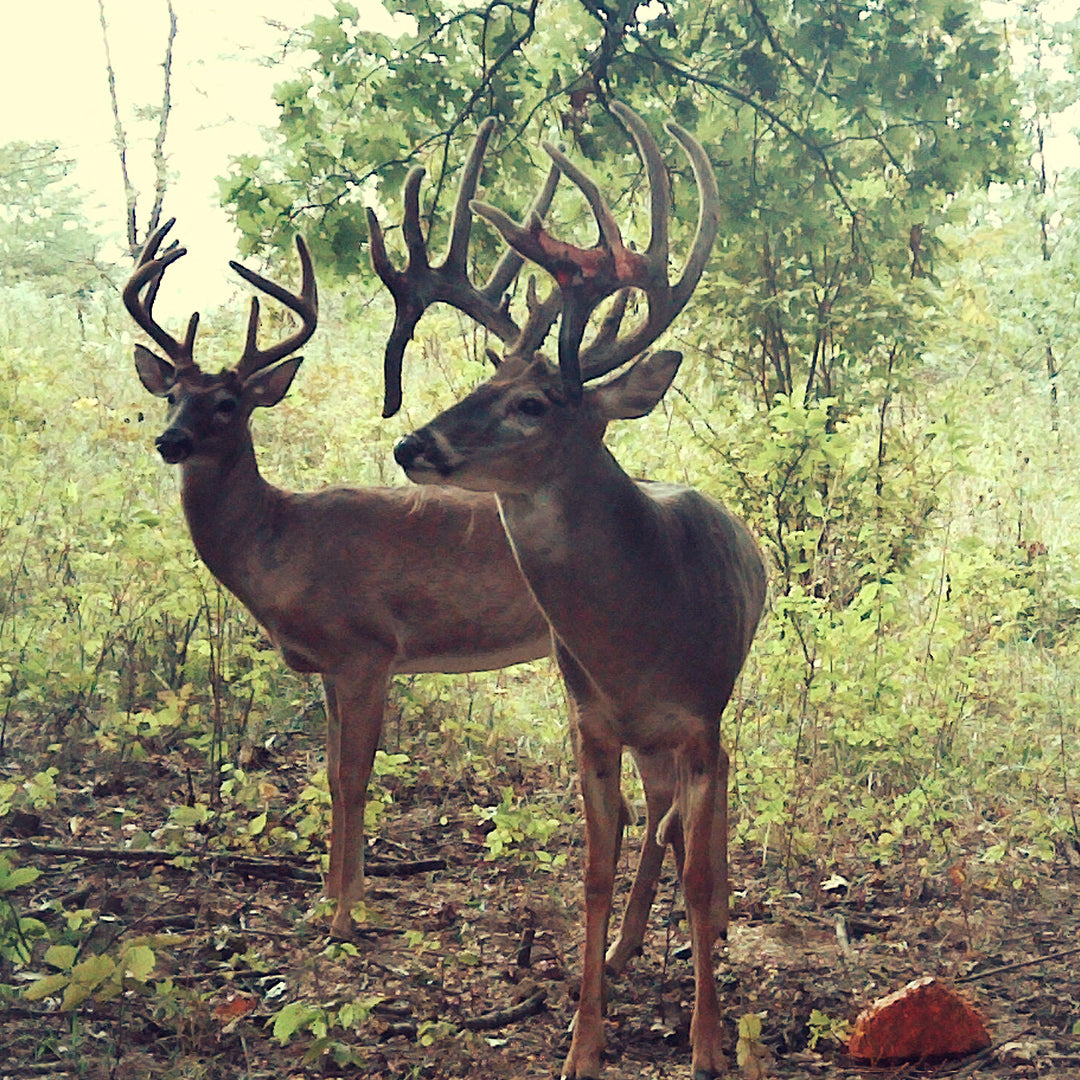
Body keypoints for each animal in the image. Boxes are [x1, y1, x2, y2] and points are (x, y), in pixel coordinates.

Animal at [384, 102, 767, 1078]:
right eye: (483, 379)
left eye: (534, 404)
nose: (412, 444)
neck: (636, 634)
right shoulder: (590, 722)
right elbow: (594, 871)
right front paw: (583, 1041)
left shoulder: (699, 718)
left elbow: (696, 871)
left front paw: (709, 1044)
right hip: (644, 742)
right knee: (658, 818)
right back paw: (629, 947)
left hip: (714, 717)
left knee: (700, 822)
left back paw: (707, 922)